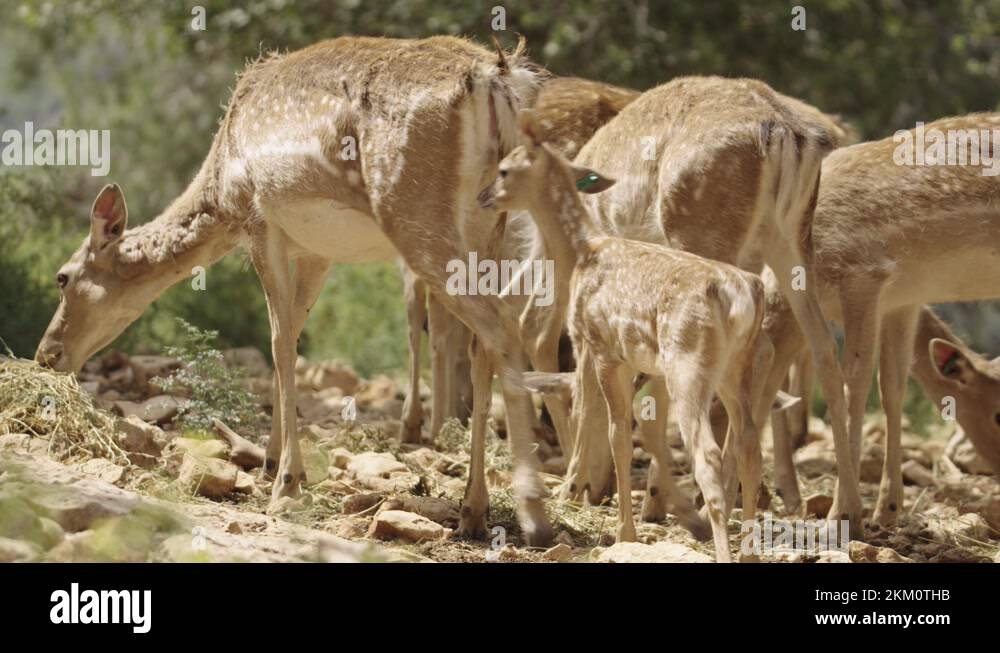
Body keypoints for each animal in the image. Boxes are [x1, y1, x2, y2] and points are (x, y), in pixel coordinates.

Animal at [34, 35, 561, 545]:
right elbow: (292, 332)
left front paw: (286, 483)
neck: (220, 186)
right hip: (488, 226)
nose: (46, 354)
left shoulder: (259, 219)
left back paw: (531, 515)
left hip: (417, 217)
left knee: (501, 331)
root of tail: (496, 81)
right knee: (482, 347)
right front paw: (271, 461)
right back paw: (474, 510)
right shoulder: (316, 251)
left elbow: (279, 343)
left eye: (62, 277)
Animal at [480, 111, 771, 561]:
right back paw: (749, 551)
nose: (484, 197)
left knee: (706, 453)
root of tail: (742, 293)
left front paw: (624, 532)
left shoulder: (602, 348)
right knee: (749, 446)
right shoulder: (632, 360)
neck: (582, 253)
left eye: (504, 169)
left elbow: (618, 433)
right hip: (737, 366)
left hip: (688, 361)